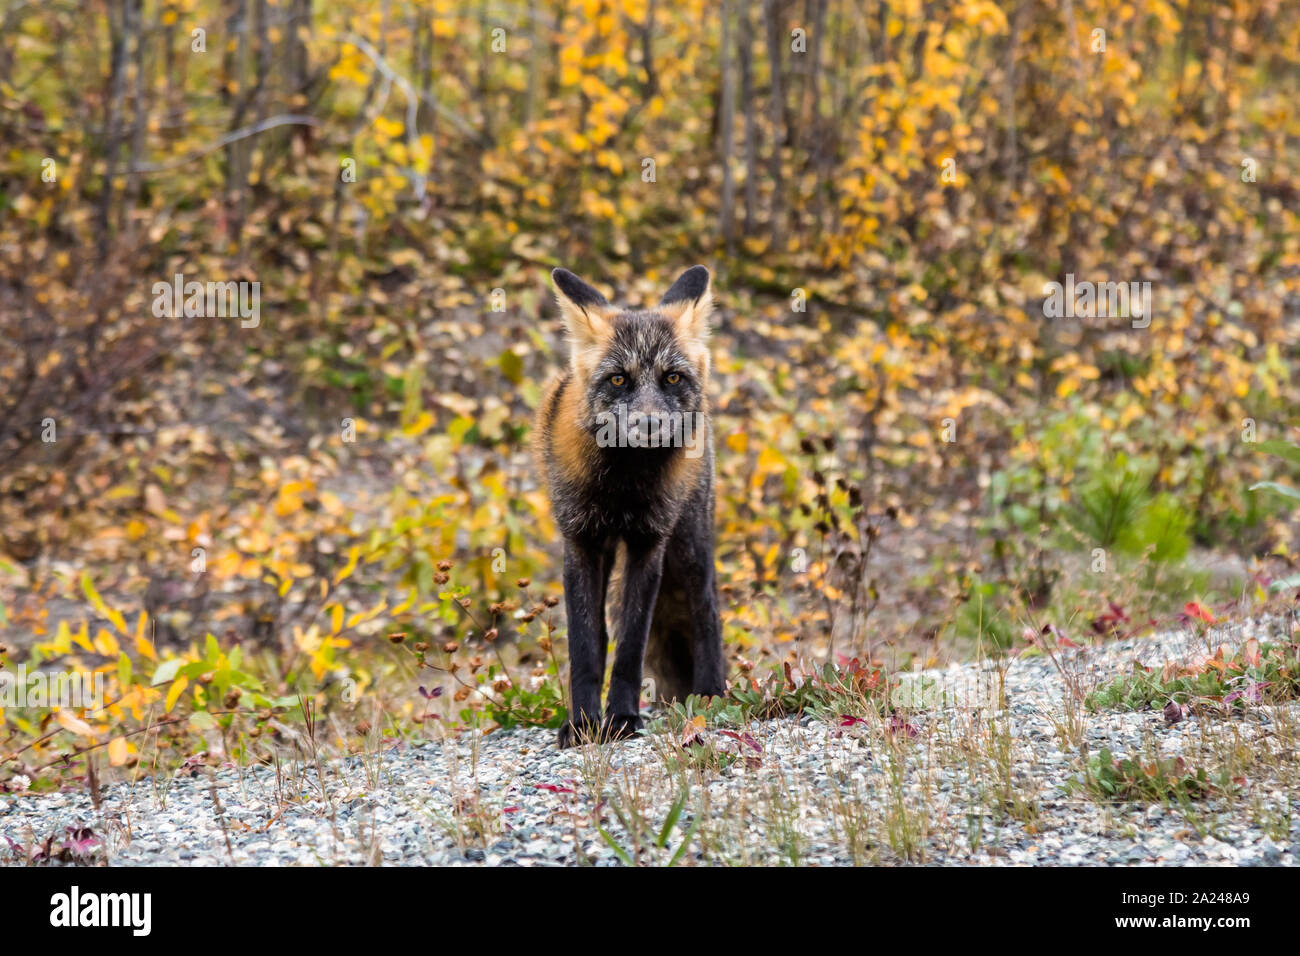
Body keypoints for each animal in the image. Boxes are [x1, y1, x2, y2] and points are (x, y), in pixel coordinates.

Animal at [534, 265, 727, 747]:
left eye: (672, 378)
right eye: (619, 379)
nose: (650, 423)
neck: (623, 488)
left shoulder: (648, 544)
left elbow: (630, 647)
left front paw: (621, 719)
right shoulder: (581, 542)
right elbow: (587, 647)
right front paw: (583, 724)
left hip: (690, 543)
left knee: (707, 611)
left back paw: (711, 695)